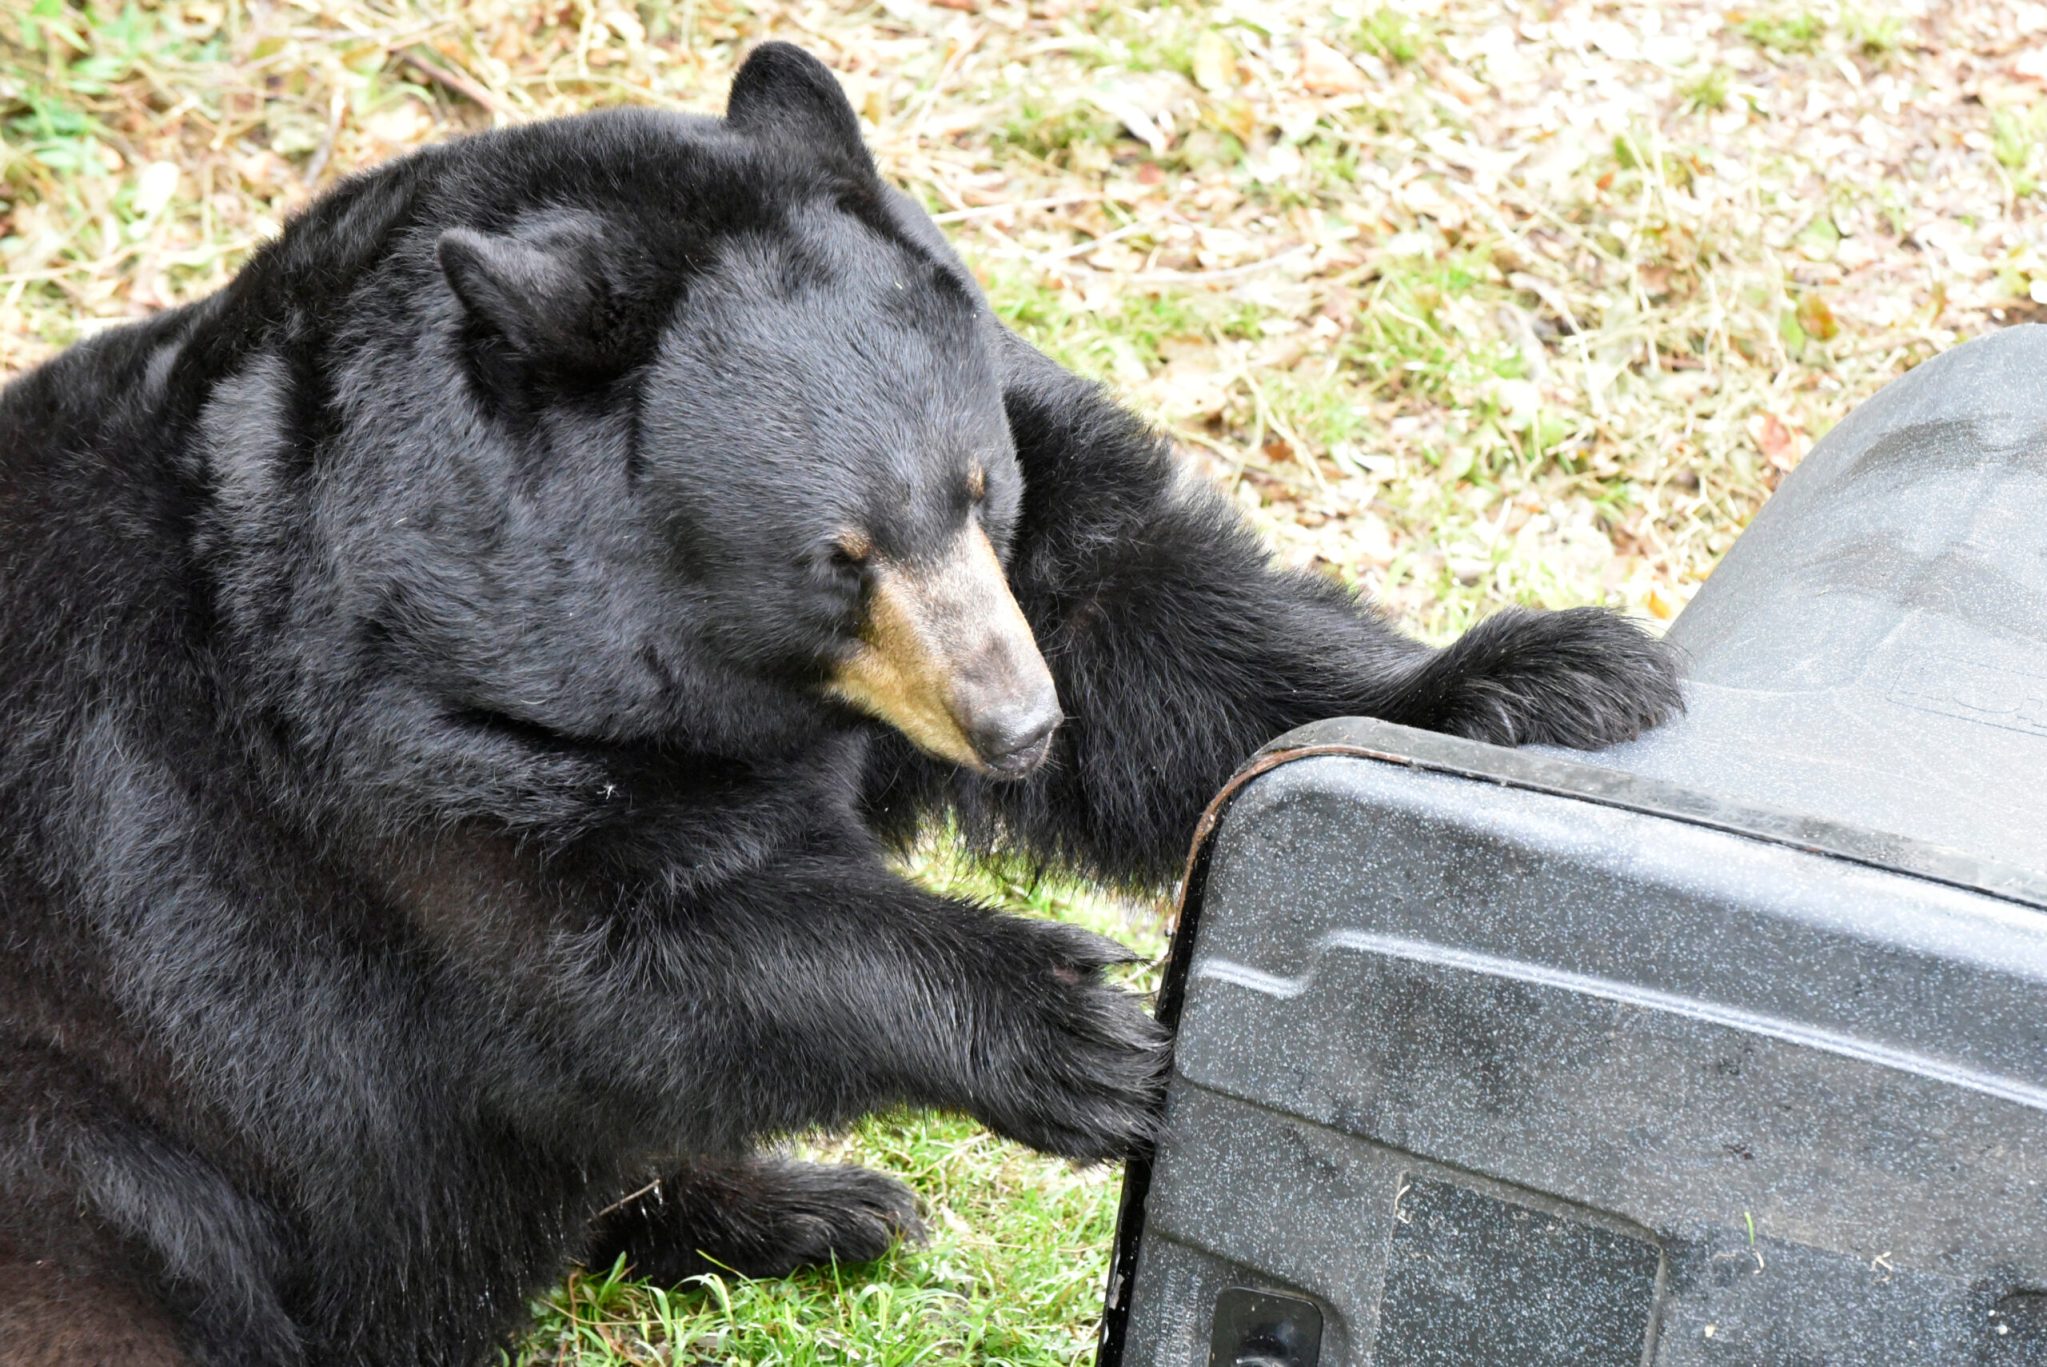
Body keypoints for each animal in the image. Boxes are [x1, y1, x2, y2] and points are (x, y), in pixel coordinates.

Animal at [0, 41, 1681, 1367]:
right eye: (835, 554)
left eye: (973, 483)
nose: (1015, 725)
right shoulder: (407, 755)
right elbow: (635, 956)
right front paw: (1079, 1026)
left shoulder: (1020, 558)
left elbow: (1149, 629)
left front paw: (1538, 678)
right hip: (99, 1142)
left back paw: (809, 1202)